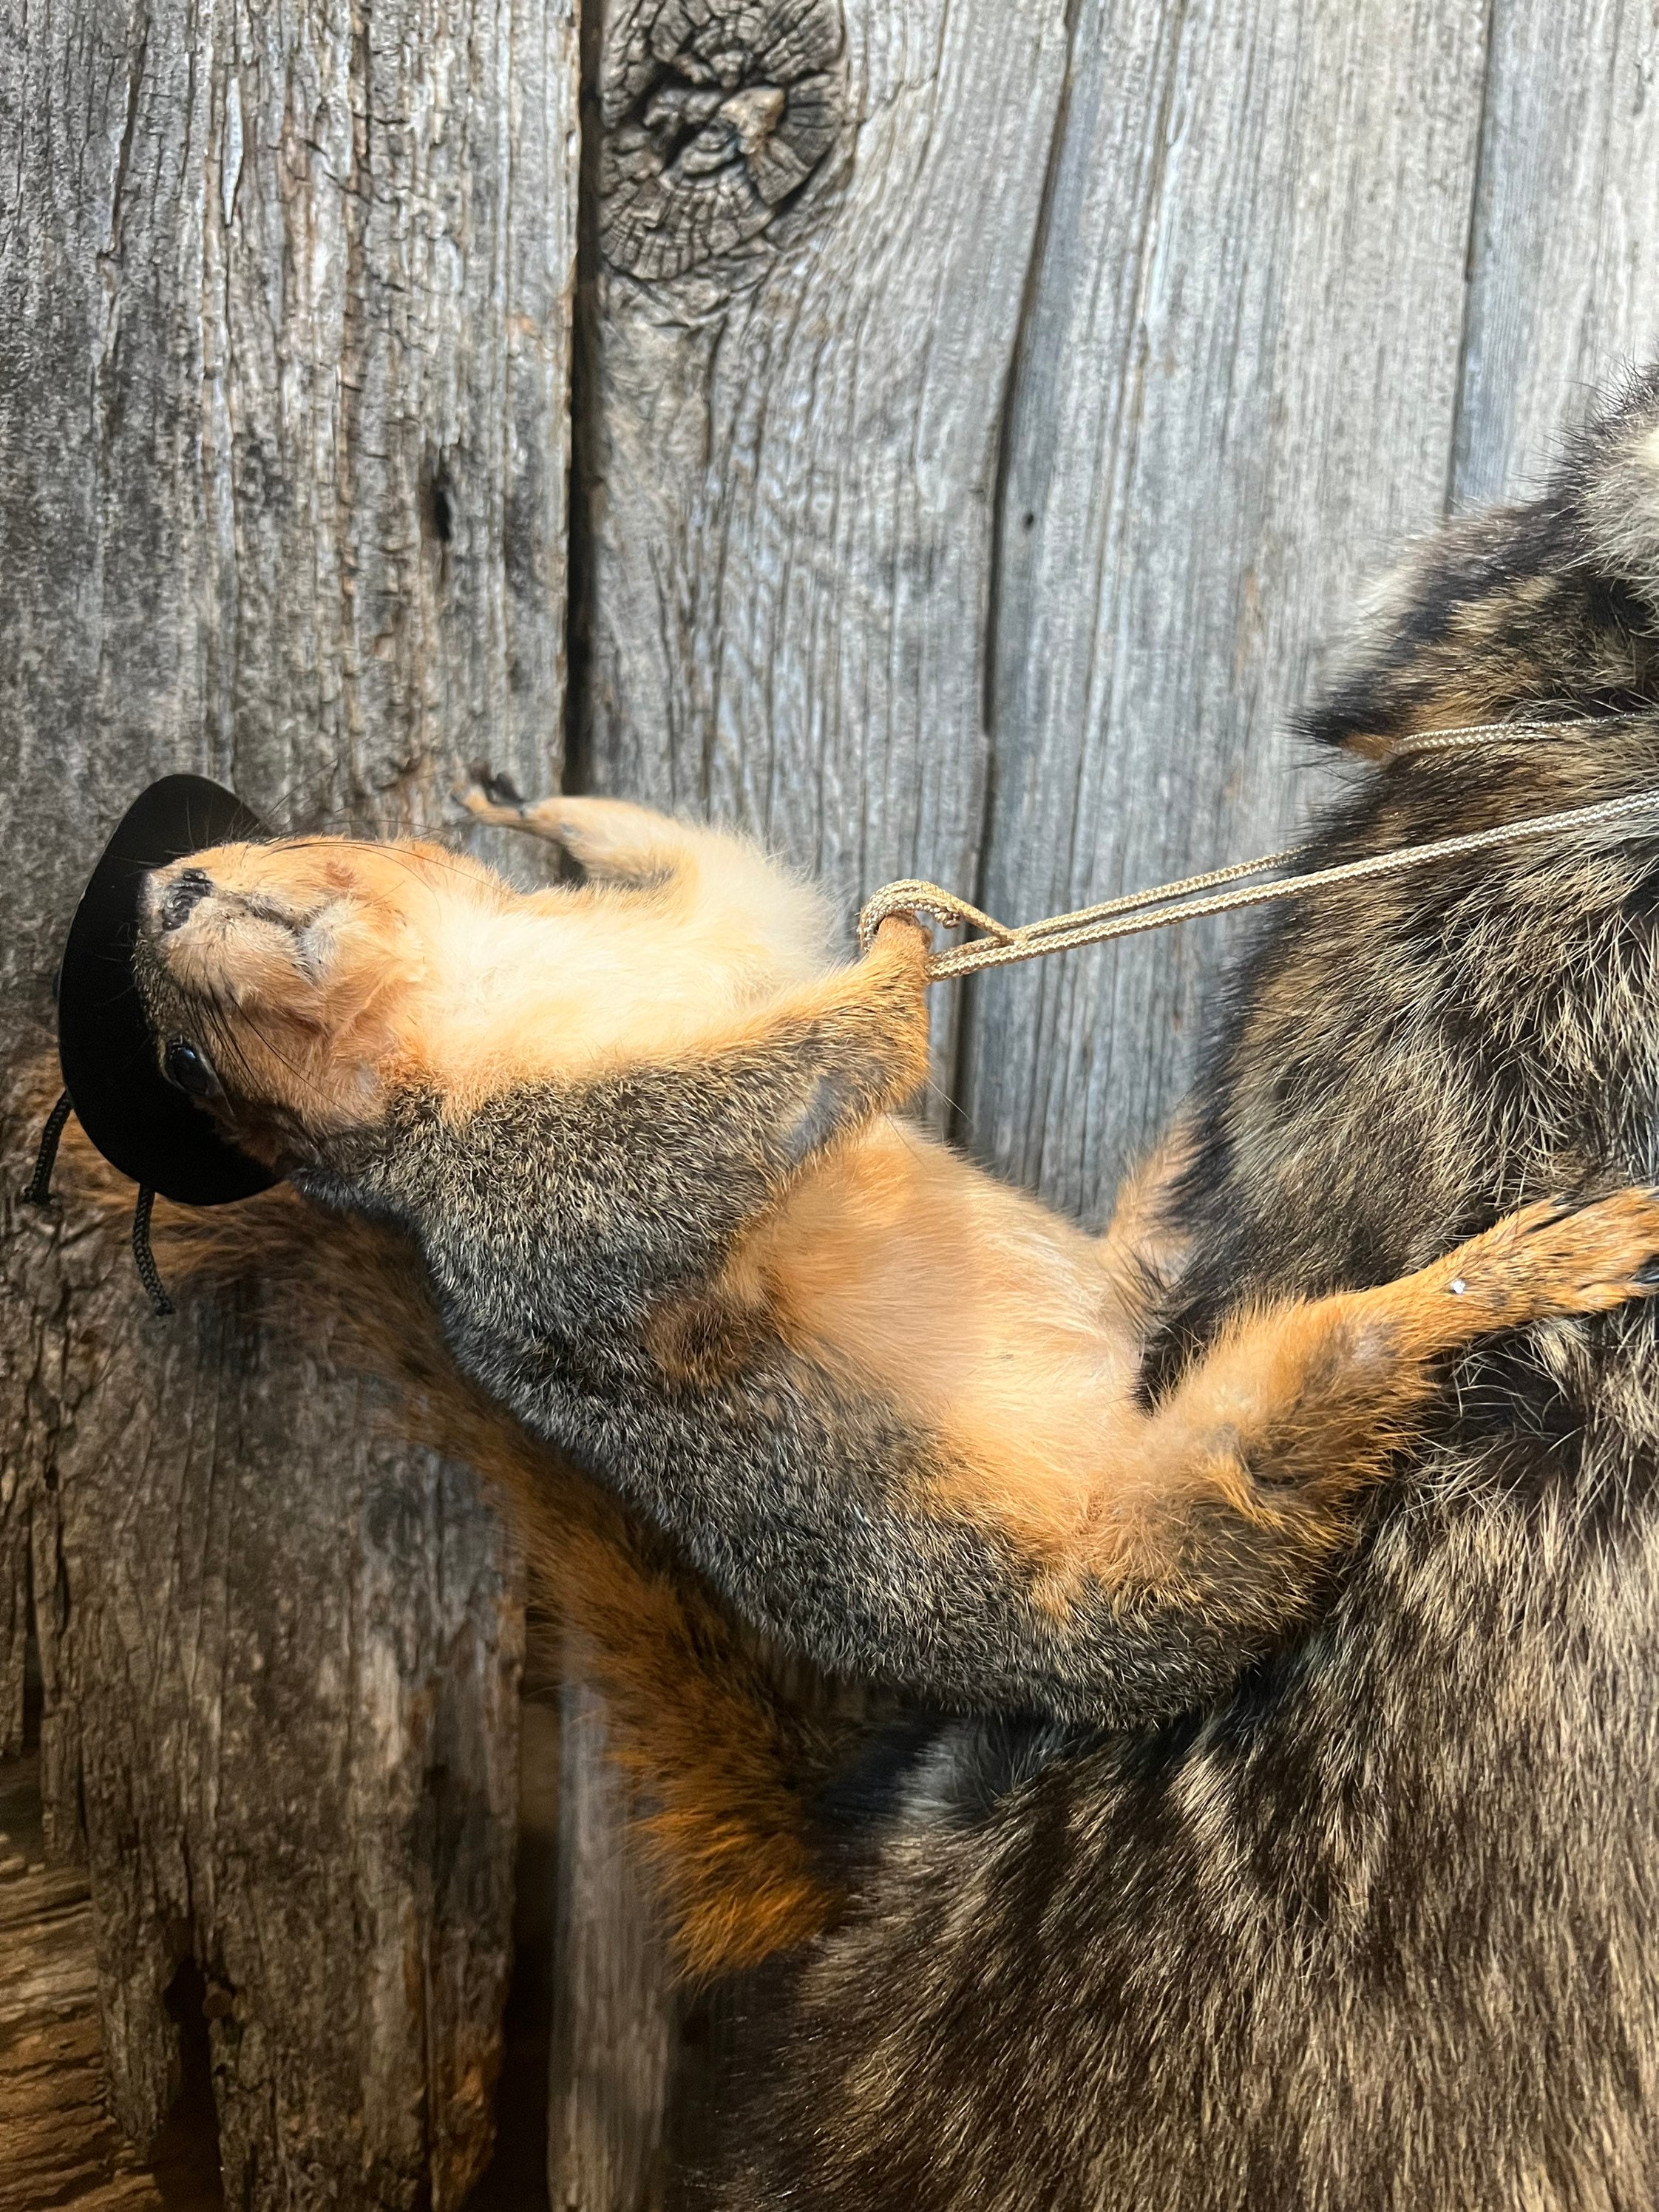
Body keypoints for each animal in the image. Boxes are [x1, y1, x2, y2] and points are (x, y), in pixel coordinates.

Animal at [89, 366, 1659, 2208]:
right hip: (1191, 1530)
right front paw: (898, 970)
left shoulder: (709, 937)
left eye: (281, 854)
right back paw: (1499, 1270)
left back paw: (1166, 1205)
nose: (165, 889)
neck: (492, 983)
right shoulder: (543, 1185)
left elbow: (708, 865)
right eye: (188, 1069)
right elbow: (745, 1115)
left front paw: (526, 804)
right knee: (1324, 1395)